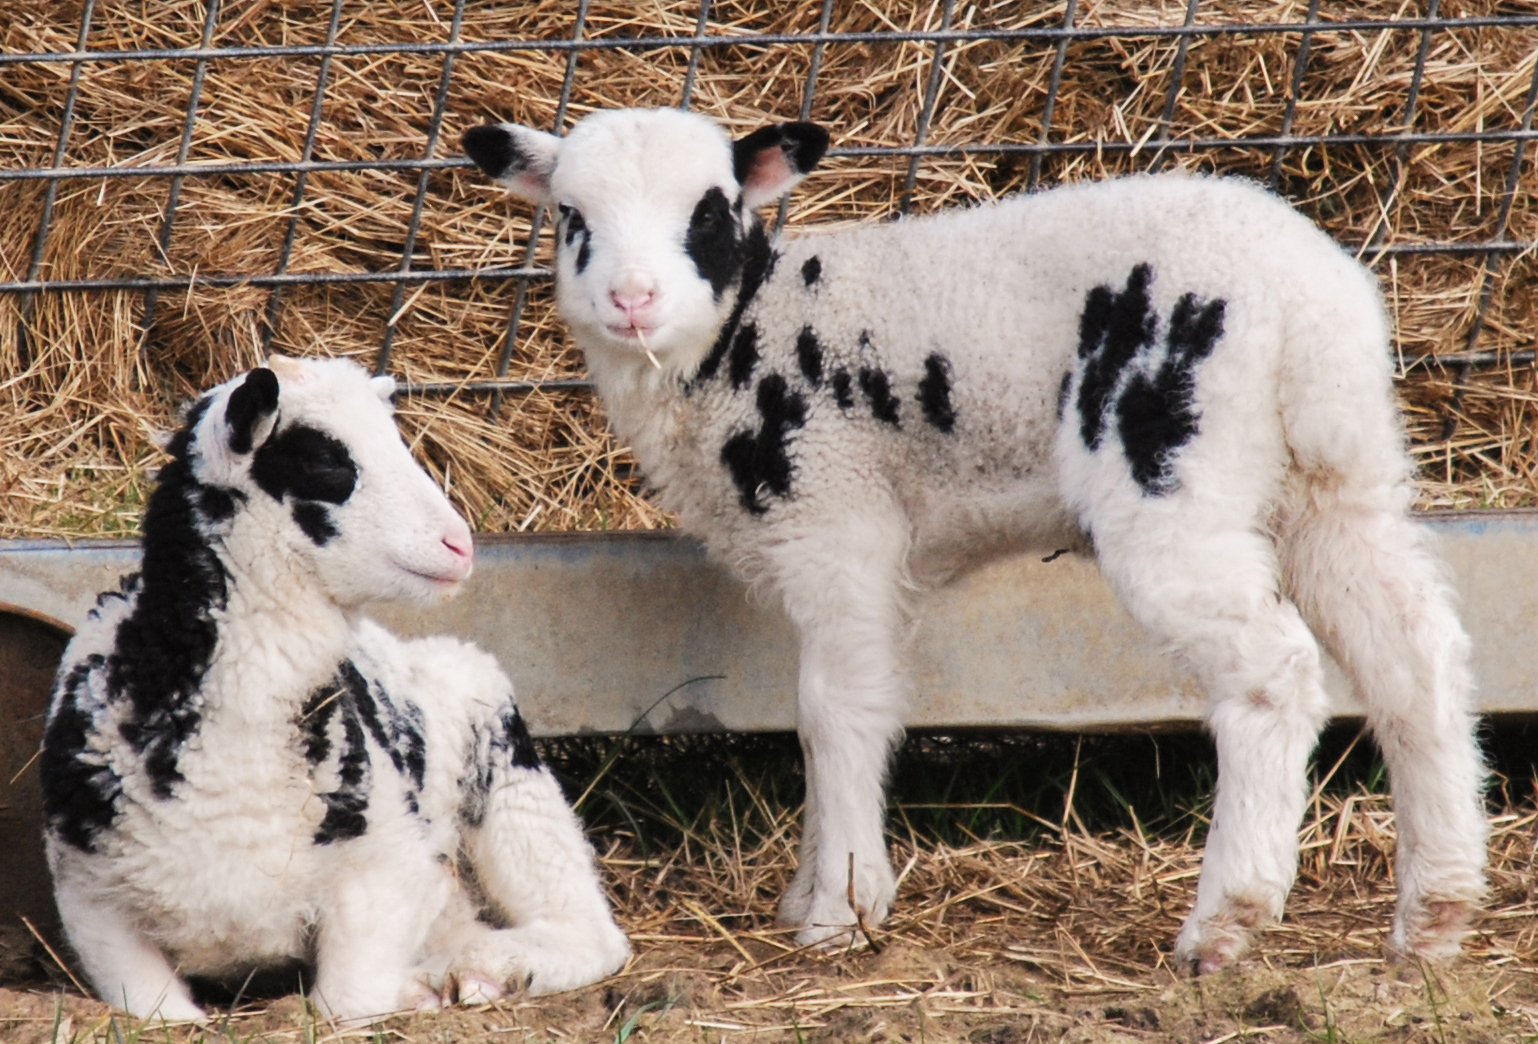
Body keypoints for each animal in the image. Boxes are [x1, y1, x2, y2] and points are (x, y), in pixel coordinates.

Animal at [39, 355, 629, 1024]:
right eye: (327, 462)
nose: (460, 545)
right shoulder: (91, 899)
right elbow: (156, 1010)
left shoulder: (383, 873)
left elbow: (345, 1003)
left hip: (508, 774)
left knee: (588, 928)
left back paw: (492, 966)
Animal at [461, 106, 1488, 972]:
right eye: (571, 215)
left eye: (708, 211)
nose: (631, 299)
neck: (739, 335)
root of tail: (1309, 300)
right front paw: (816, 890)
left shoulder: (838, 519)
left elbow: (837, 710)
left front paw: (840, 910)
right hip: (1335, 481)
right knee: (1415, 656)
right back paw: (1435, 913)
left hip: (1174, 474)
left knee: (1271, 675)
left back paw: (1225, 922)